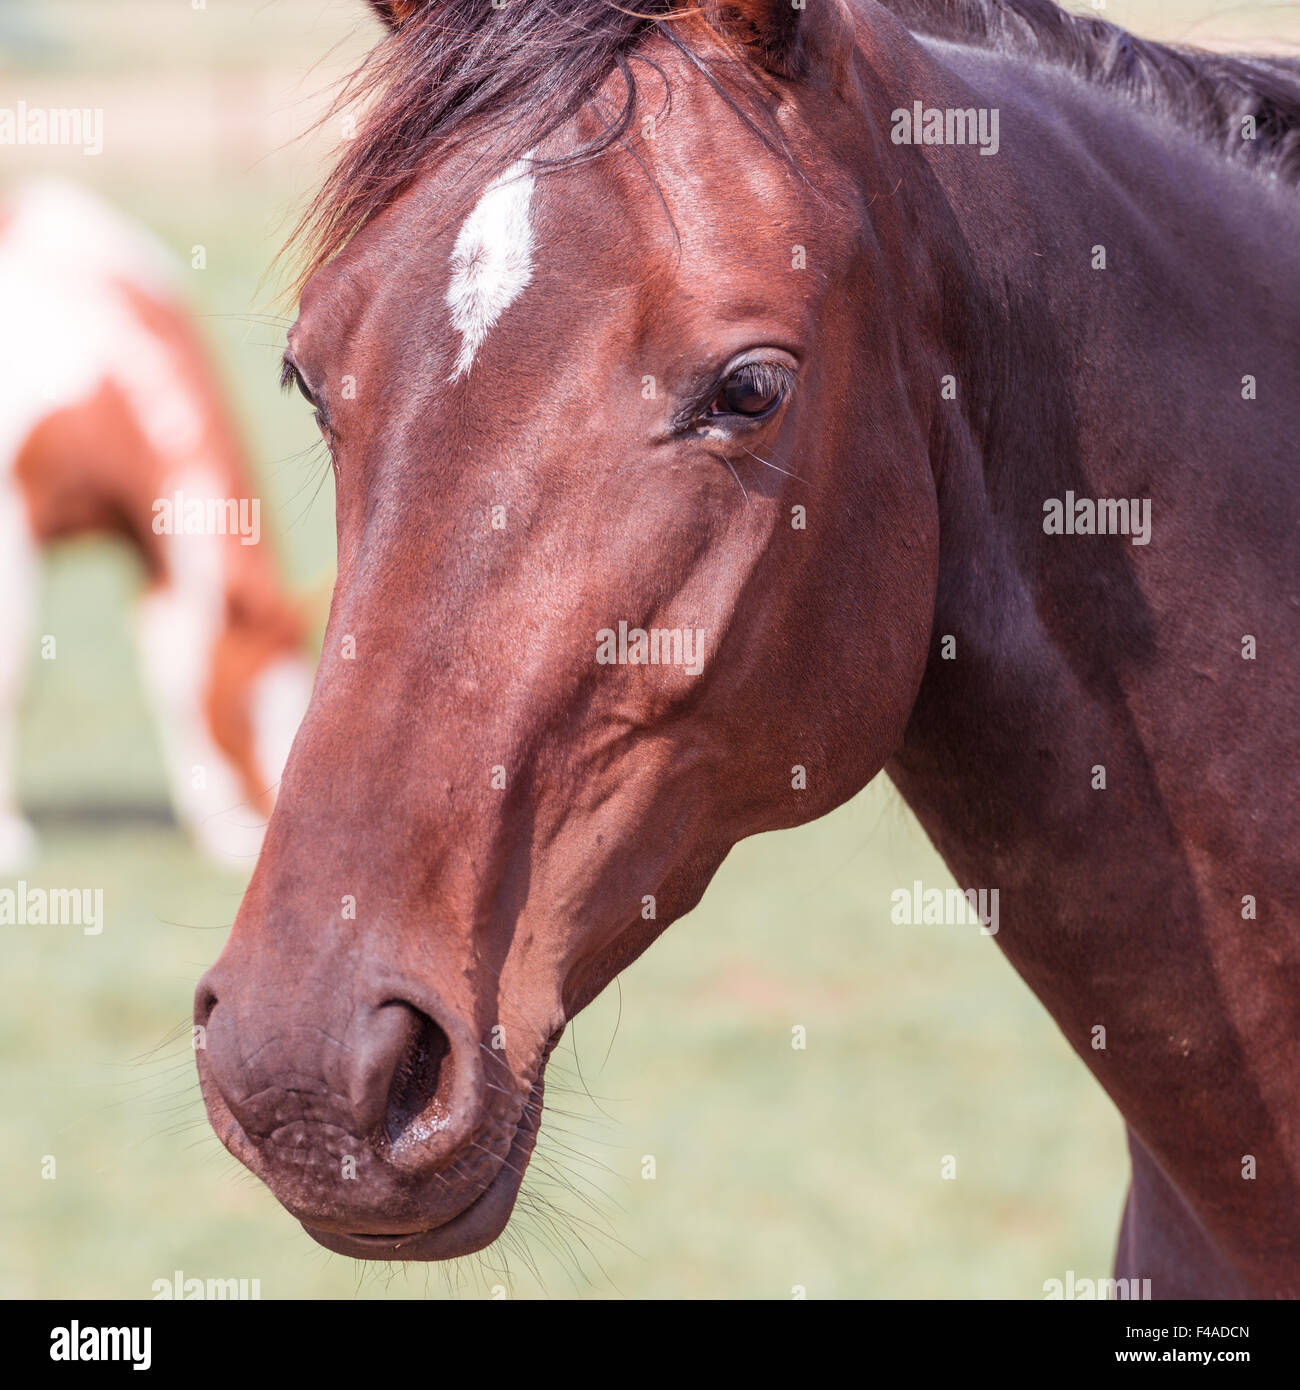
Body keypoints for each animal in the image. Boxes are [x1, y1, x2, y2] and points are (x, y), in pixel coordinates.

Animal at [0, 179, 314, 868]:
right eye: (239, 713)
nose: (266, 830)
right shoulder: (14, 527)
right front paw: (9, 837)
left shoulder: (156, 543)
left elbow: (171, 660)